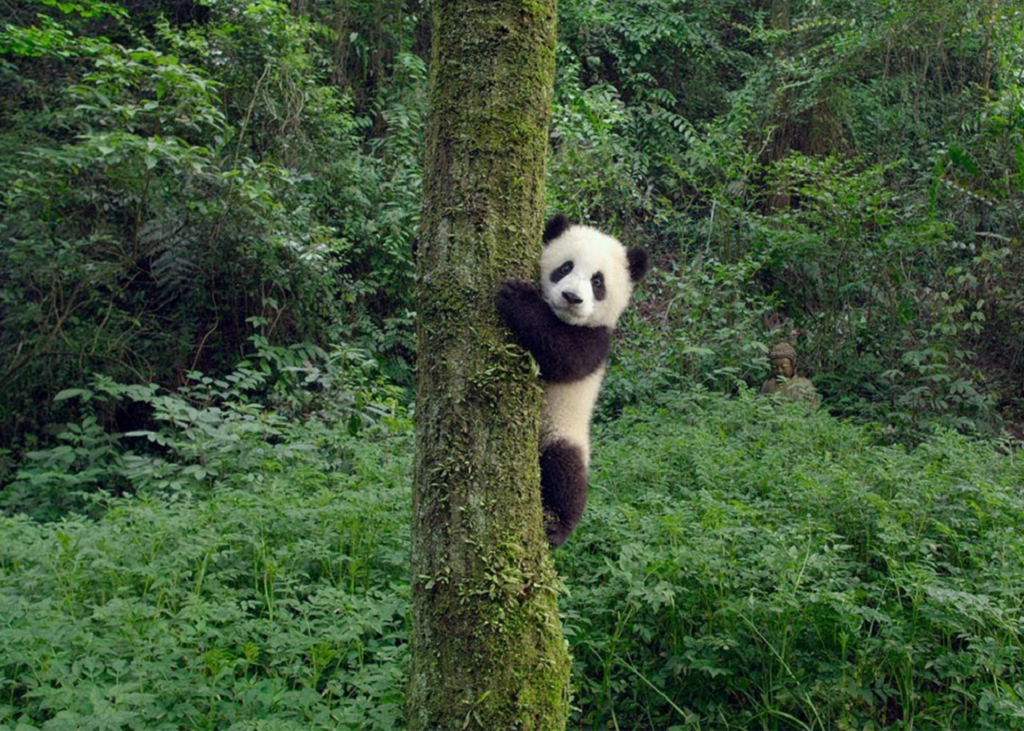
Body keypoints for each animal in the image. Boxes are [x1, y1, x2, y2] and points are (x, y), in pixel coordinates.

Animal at [497, 214, 649, 546]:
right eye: (565, 267)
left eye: (597, 281)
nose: (571, 298)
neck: (565, 318)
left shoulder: (597, 341)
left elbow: (564, 355)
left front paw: (517, 296)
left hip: (564, 431)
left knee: (565, 473)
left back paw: (557, 527)